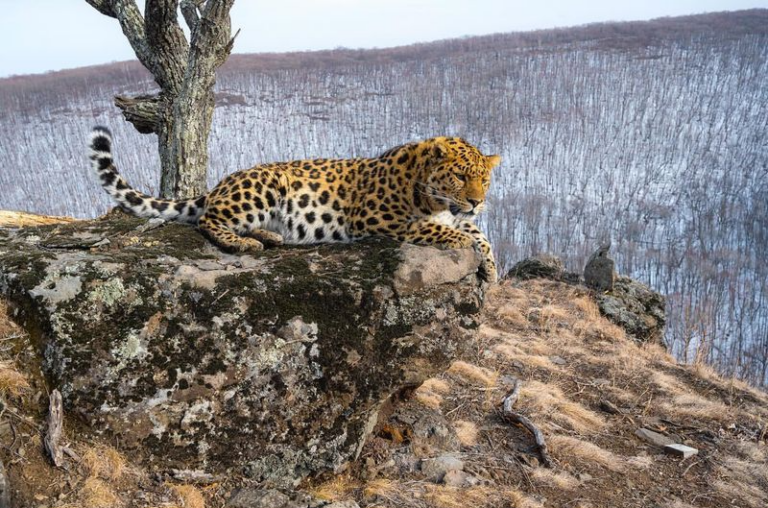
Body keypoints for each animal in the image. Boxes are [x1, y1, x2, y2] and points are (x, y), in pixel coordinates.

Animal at [89, 126, 501, 282]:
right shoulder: (375, 218)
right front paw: (463, 244)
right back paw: (246, 243)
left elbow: (481, 235)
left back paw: (270, 238)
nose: (477, 201)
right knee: (208, 219)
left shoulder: (458, 215)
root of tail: (219, 184)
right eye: (460, 176)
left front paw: (491, 270)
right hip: (265, 186)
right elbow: (435, 228)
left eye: (484, 179)